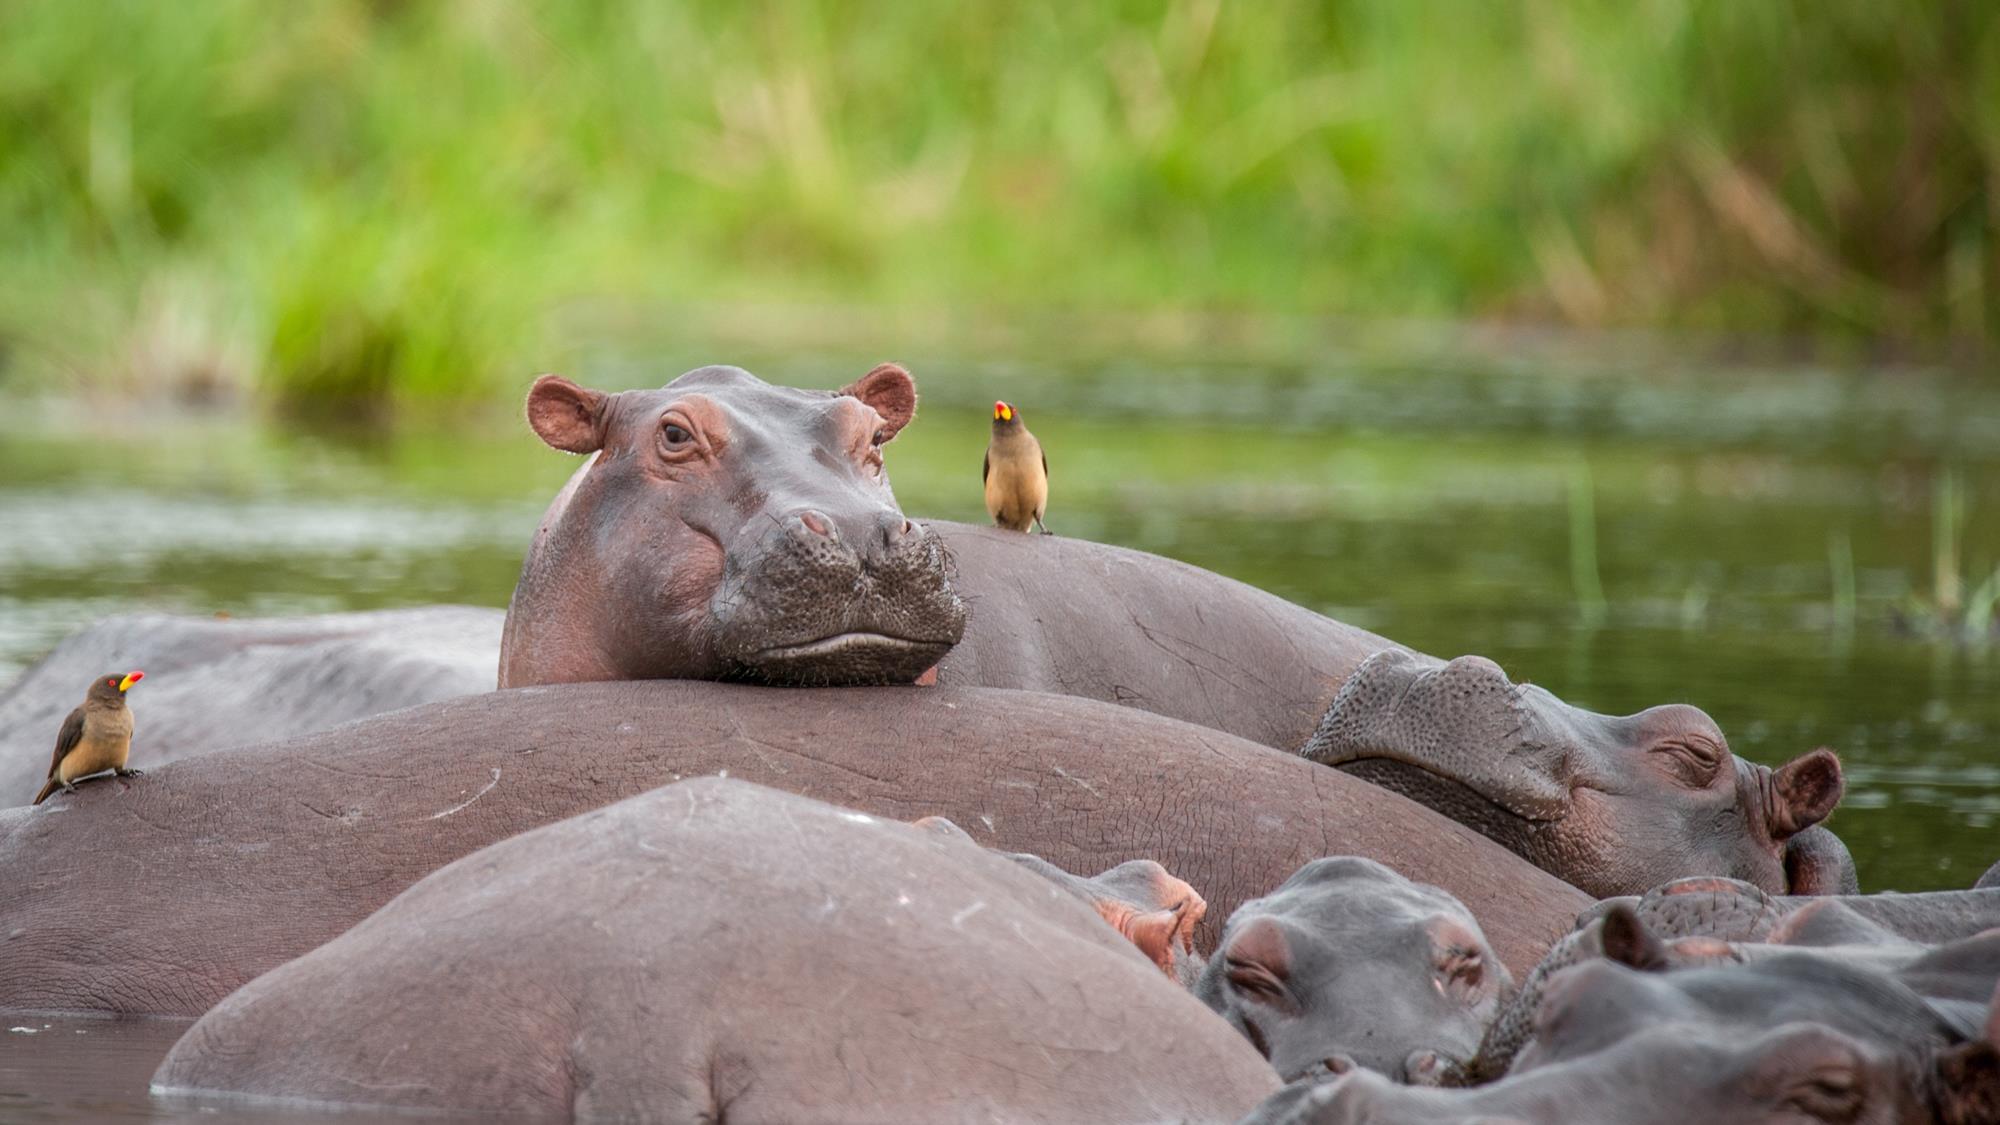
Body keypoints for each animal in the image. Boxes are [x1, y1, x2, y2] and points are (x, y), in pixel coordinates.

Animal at [0, 607, 498, 805]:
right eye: (111, 681)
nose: (135, 673)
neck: (110, 713)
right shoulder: (74, 734)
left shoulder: (122, 745)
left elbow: (122, 764)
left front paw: (133, 771)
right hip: (58, 764)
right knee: (57, 776)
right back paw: (61, 789)